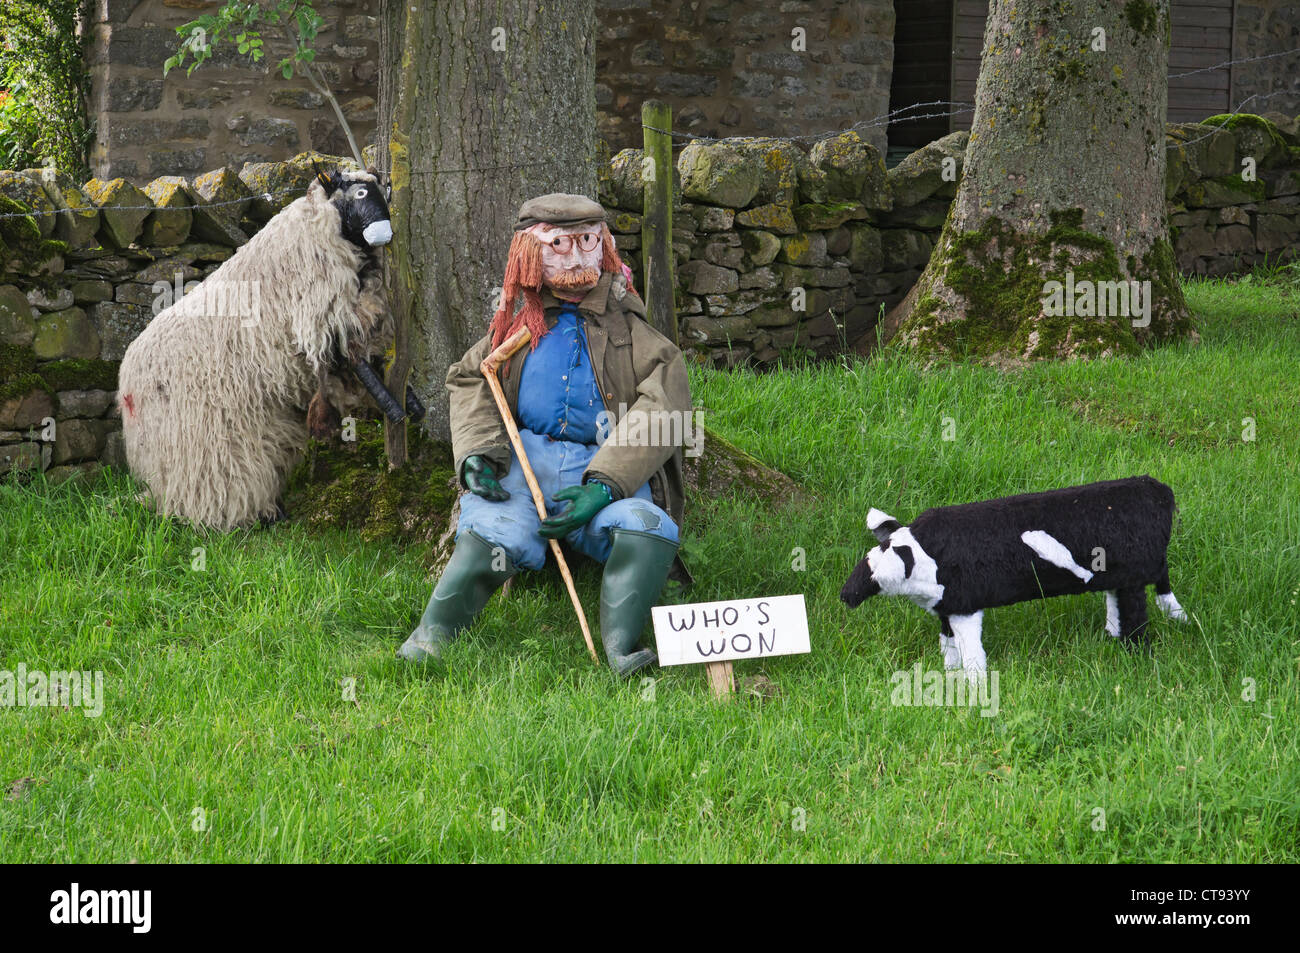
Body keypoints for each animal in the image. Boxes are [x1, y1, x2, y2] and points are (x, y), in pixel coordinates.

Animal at [117, 166, 393, 529]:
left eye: (383, 193)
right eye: (359, 194)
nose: (384, 233)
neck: (315, 230)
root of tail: (126, 387)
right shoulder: (321, 316)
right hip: (207, 440)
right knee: (216, 483)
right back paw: (232, 519)